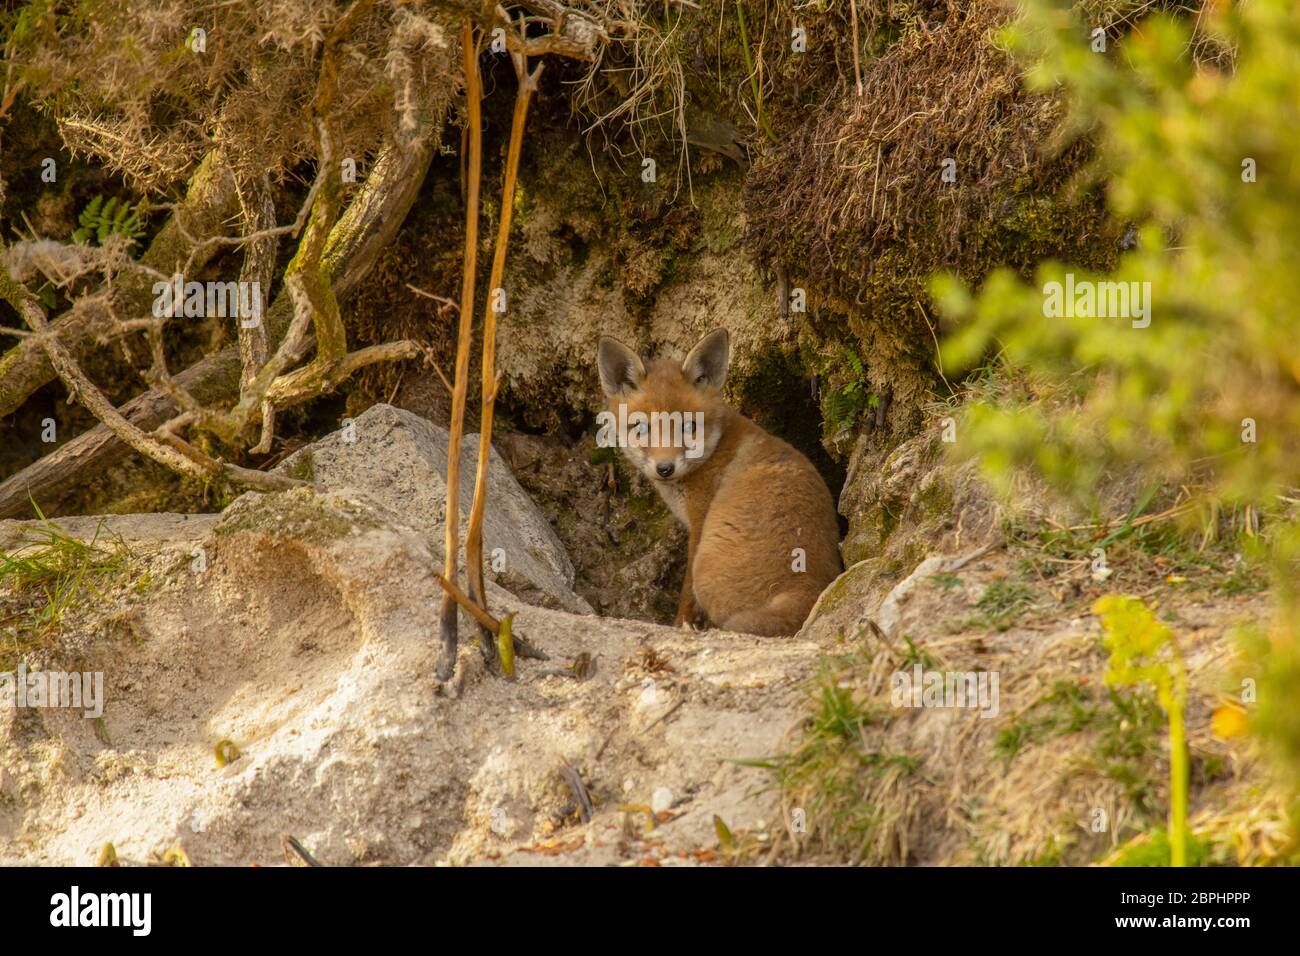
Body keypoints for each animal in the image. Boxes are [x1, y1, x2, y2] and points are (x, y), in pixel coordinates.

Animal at [597, 328, 842, 636]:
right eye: (641, 427)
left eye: (688, 426)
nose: (665, 468)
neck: (714, 448)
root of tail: (806, 587)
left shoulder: (699, 523)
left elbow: (686, 594)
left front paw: (681, 624)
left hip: (706, 566)